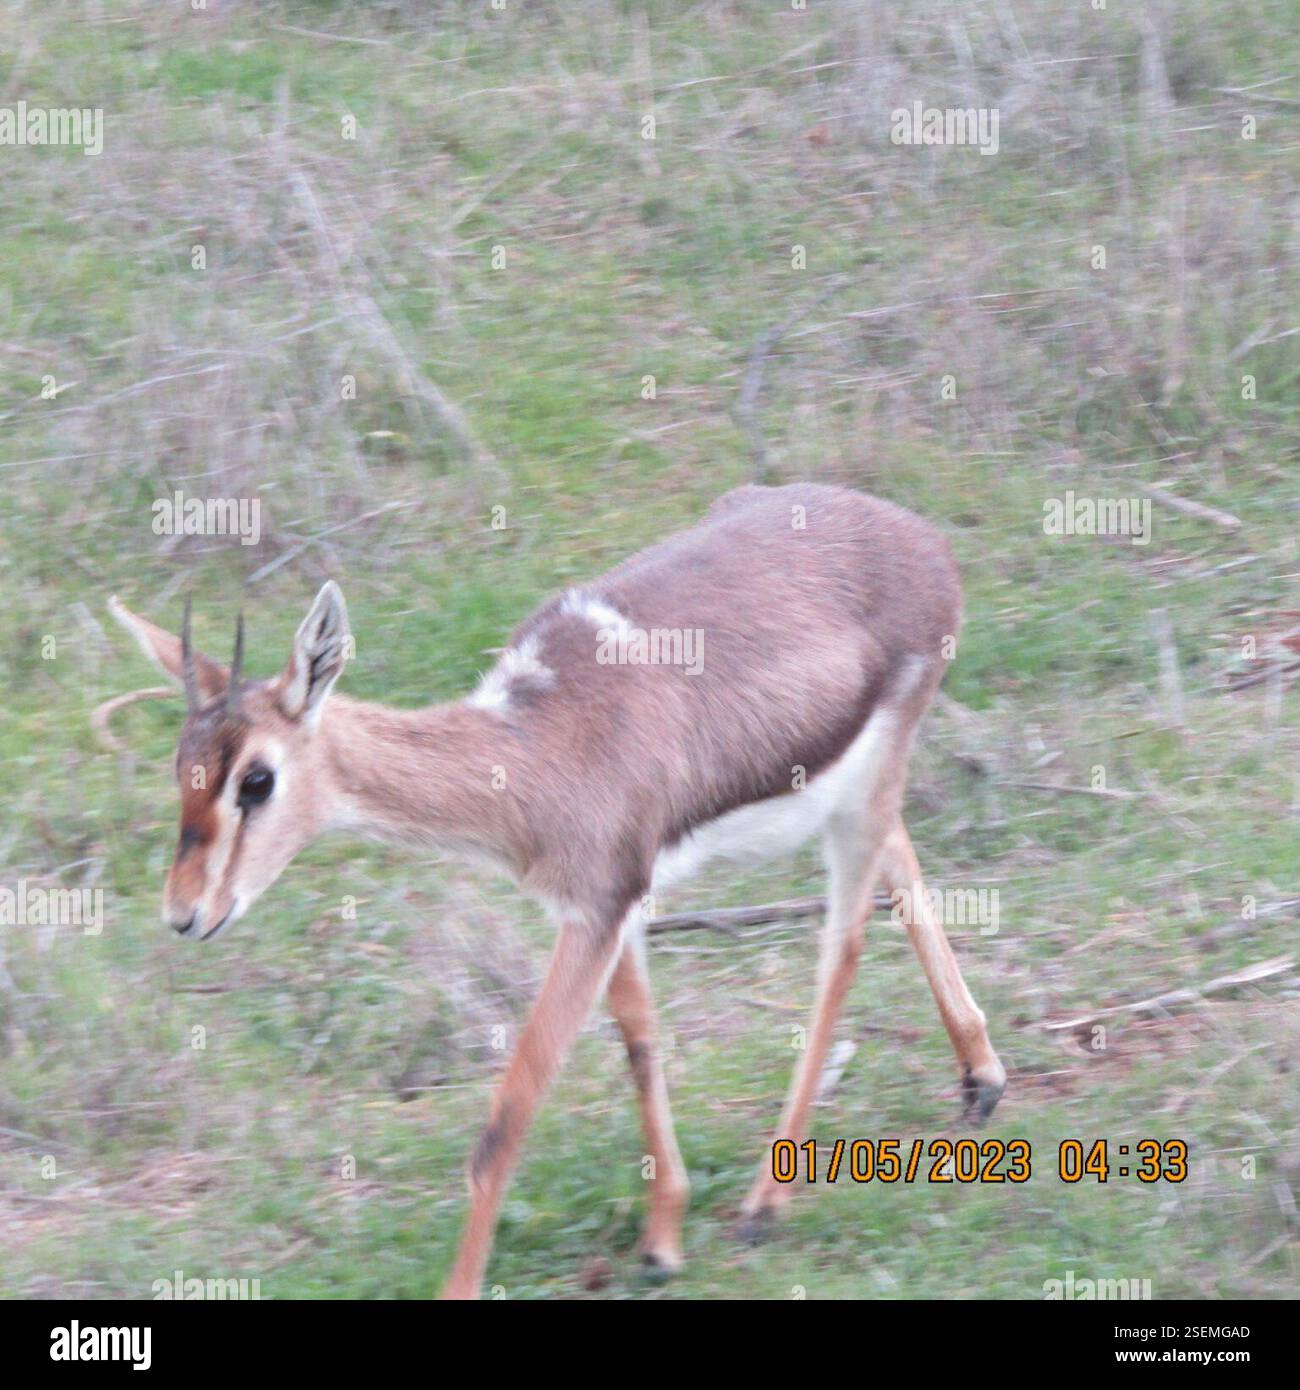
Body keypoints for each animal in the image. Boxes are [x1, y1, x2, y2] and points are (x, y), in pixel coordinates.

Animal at [103, 482, 1006, 1299]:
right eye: (180, 767)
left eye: (256, 779)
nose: (185, 914)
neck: (535, 747)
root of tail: (921, 536)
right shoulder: (610, 909)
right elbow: (641, 1041)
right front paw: (662, 1243)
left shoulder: (598, 911)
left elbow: (509, 1115)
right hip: (856, 798)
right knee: (902, 864)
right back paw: (981, 1082)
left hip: (862, 797)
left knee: (841, 951)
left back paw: (766, 1204)